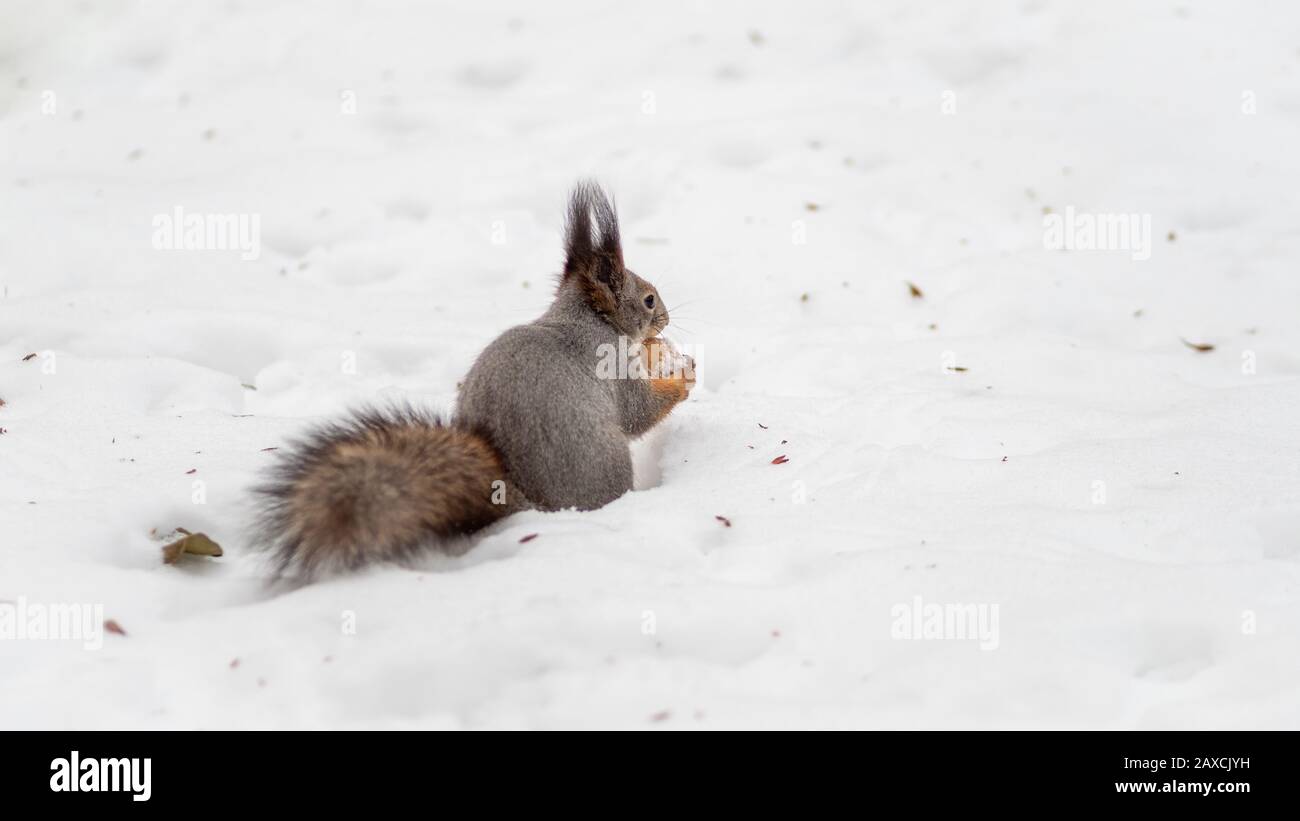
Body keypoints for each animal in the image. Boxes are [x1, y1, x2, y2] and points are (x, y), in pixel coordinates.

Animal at [252, 182, 695, 577]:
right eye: (649, 299)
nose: (665, 320)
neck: (585, 317)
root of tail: (526, 503)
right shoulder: (611, 363)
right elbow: (639, 412)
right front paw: (682, 375)